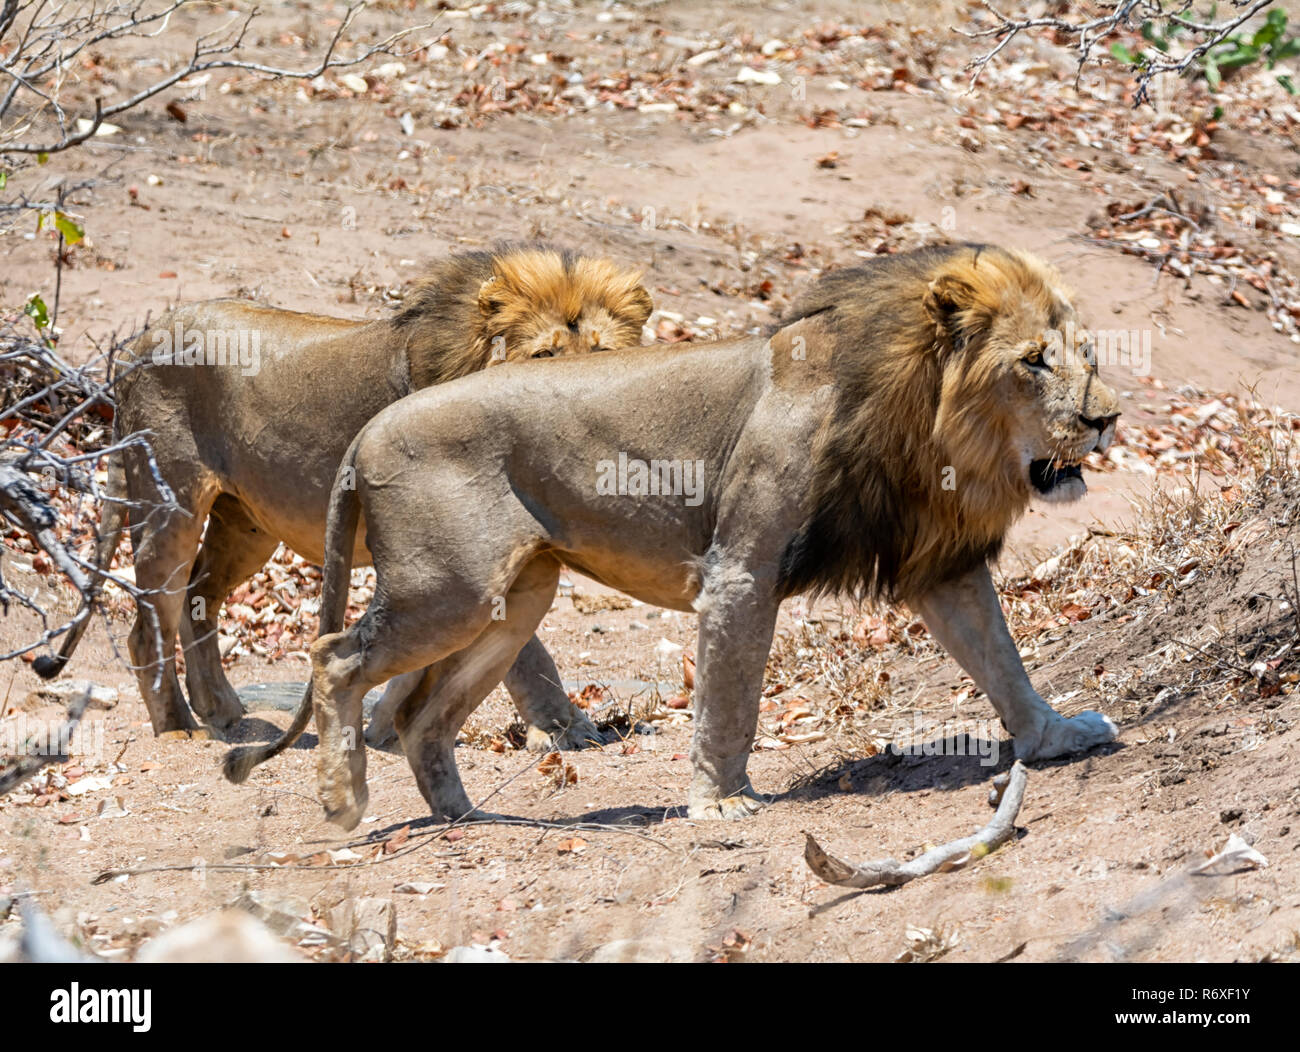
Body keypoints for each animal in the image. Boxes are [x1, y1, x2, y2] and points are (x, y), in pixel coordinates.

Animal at [38, 243, 653, 747]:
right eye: (544, 354)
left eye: (601, 349)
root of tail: (136, 342)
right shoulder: (466, 548)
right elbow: (527, 654)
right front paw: (569, 730)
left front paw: (384, 730)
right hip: (171, 502)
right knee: (150, 623)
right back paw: (179, 729)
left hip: (246, 523)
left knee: (200, 599)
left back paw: (224, 713)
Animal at [223, 242, 1121, 829]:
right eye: (1034, 361)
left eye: (1086, 352)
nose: (1107, 418)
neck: (927, 430)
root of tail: (369, 429)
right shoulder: (742, 571)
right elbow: (730, 698)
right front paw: (719, 800)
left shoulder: (941, 564)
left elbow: (1002, 659)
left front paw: (1054, 737)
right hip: (449, 590)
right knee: (335, 657)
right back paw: (345, 802)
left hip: (512, 599)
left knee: (422, 716)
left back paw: (467, 818)